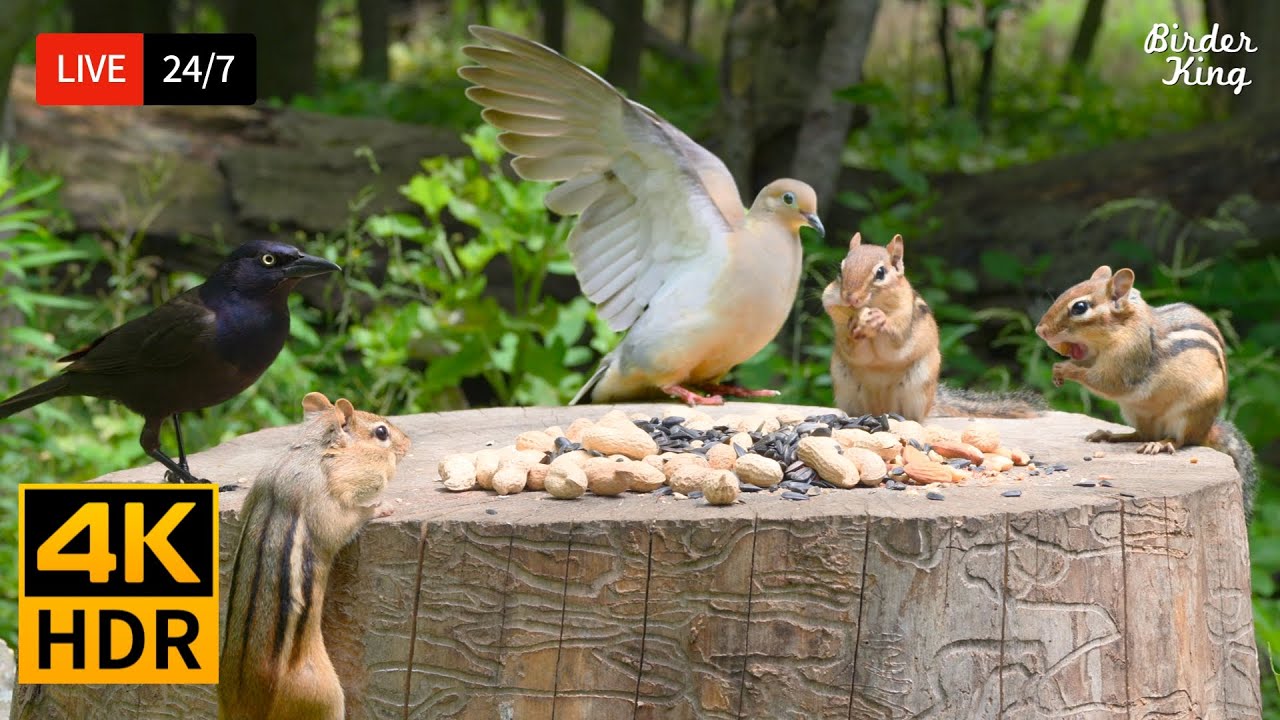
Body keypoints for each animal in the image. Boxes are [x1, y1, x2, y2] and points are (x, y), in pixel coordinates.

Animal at [219, 392, 411, 720]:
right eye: (381, 433)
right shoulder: (326, 508)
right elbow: (347, 523)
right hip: (326, 697)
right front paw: (380, 507)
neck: (310, 455)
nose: (408, 444)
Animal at [823, 232, 1044, 421]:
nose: (849, 298)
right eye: (840, 270)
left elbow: (896, 339)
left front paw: (879, 319)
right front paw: (853, 328)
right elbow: (849, 345)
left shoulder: (905, 318)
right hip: (844, 385)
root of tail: (880, 409)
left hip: (918, 386)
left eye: (880, 272)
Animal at [1036, 265, 1257, 516]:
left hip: (1187, 413)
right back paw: (1111, 435)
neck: (1122, 327)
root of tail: (1206, 429)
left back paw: (1161, 444)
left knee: (1180, 440)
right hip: (1134, 412)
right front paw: (1058, 370)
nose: (1040, 330)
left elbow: (1107, 382)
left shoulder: (1129, 358)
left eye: (1079, 307)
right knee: (1142, 434)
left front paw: (1065, 369)